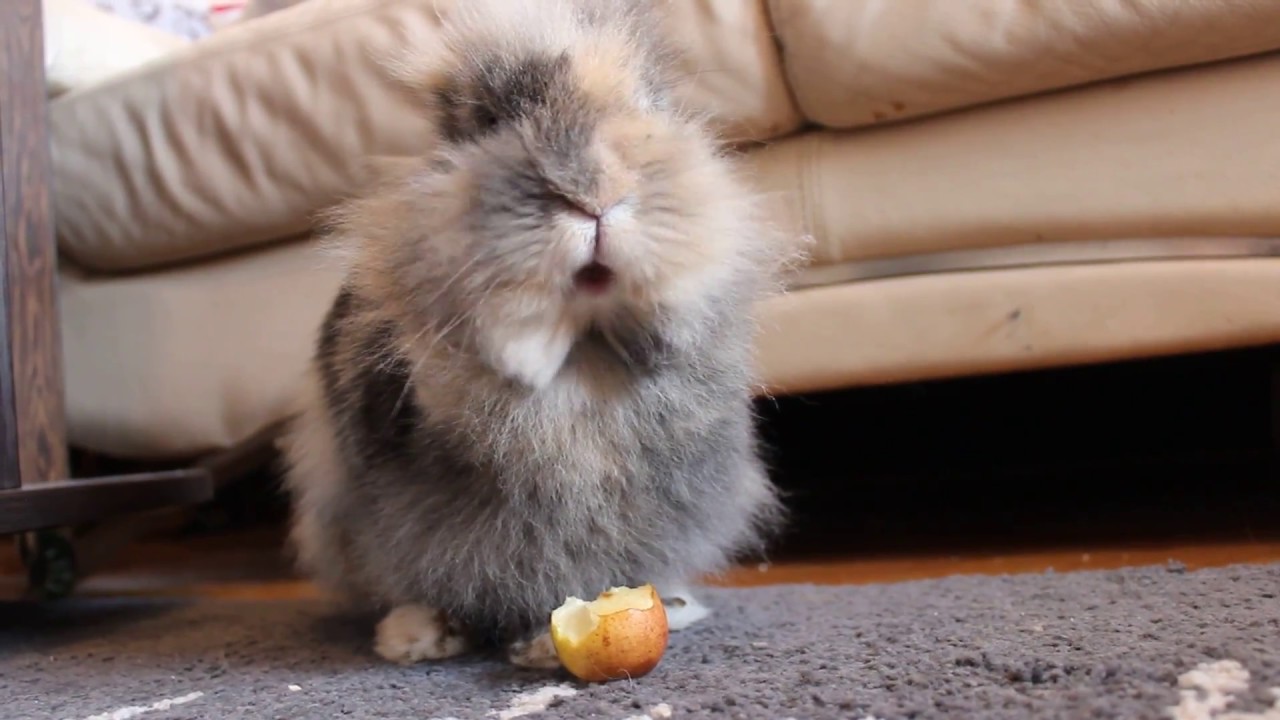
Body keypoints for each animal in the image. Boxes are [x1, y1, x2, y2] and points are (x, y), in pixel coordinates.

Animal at [278, 0, 804, 669]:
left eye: (648, 104)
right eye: (488, 120)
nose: (595, 191)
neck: (582, 356)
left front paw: (547, 643)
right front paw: (427, 638)